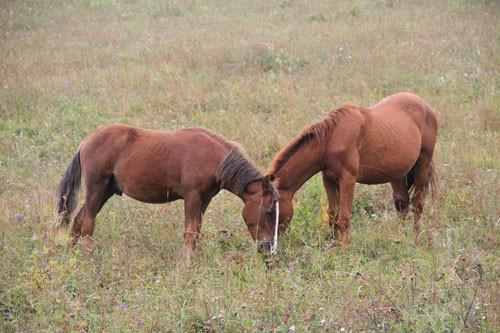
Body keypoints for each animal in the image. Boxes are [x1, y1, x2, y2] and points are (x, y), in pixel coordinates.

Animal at [56, 123, 276, 258]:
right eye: (269, 211)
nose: (268, 248)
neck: (213, 159)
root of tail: (86, 142)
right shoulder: (192, 197)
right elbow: (190, 231)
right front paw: (187, 263)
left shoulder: (205, 199)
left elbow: (196, 229)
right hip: (97, 188)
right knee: (87, 224)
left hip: (105, 191)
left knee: (78, 220)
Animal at [250, 91, 438, 252]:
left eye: (269, 210)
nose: (264, 247)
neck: (330, 140)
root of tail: (426, 106)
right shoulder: (328, 179)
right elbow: (333, 215)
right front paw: (333, 244)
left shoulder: (348, 179)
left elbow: (344, 217)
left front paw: (342, 249)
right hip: (397, 173)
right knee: (402, 203)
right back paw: (399, 237)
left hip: (422, 164)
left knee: (418, 203)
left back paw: (415, 239)